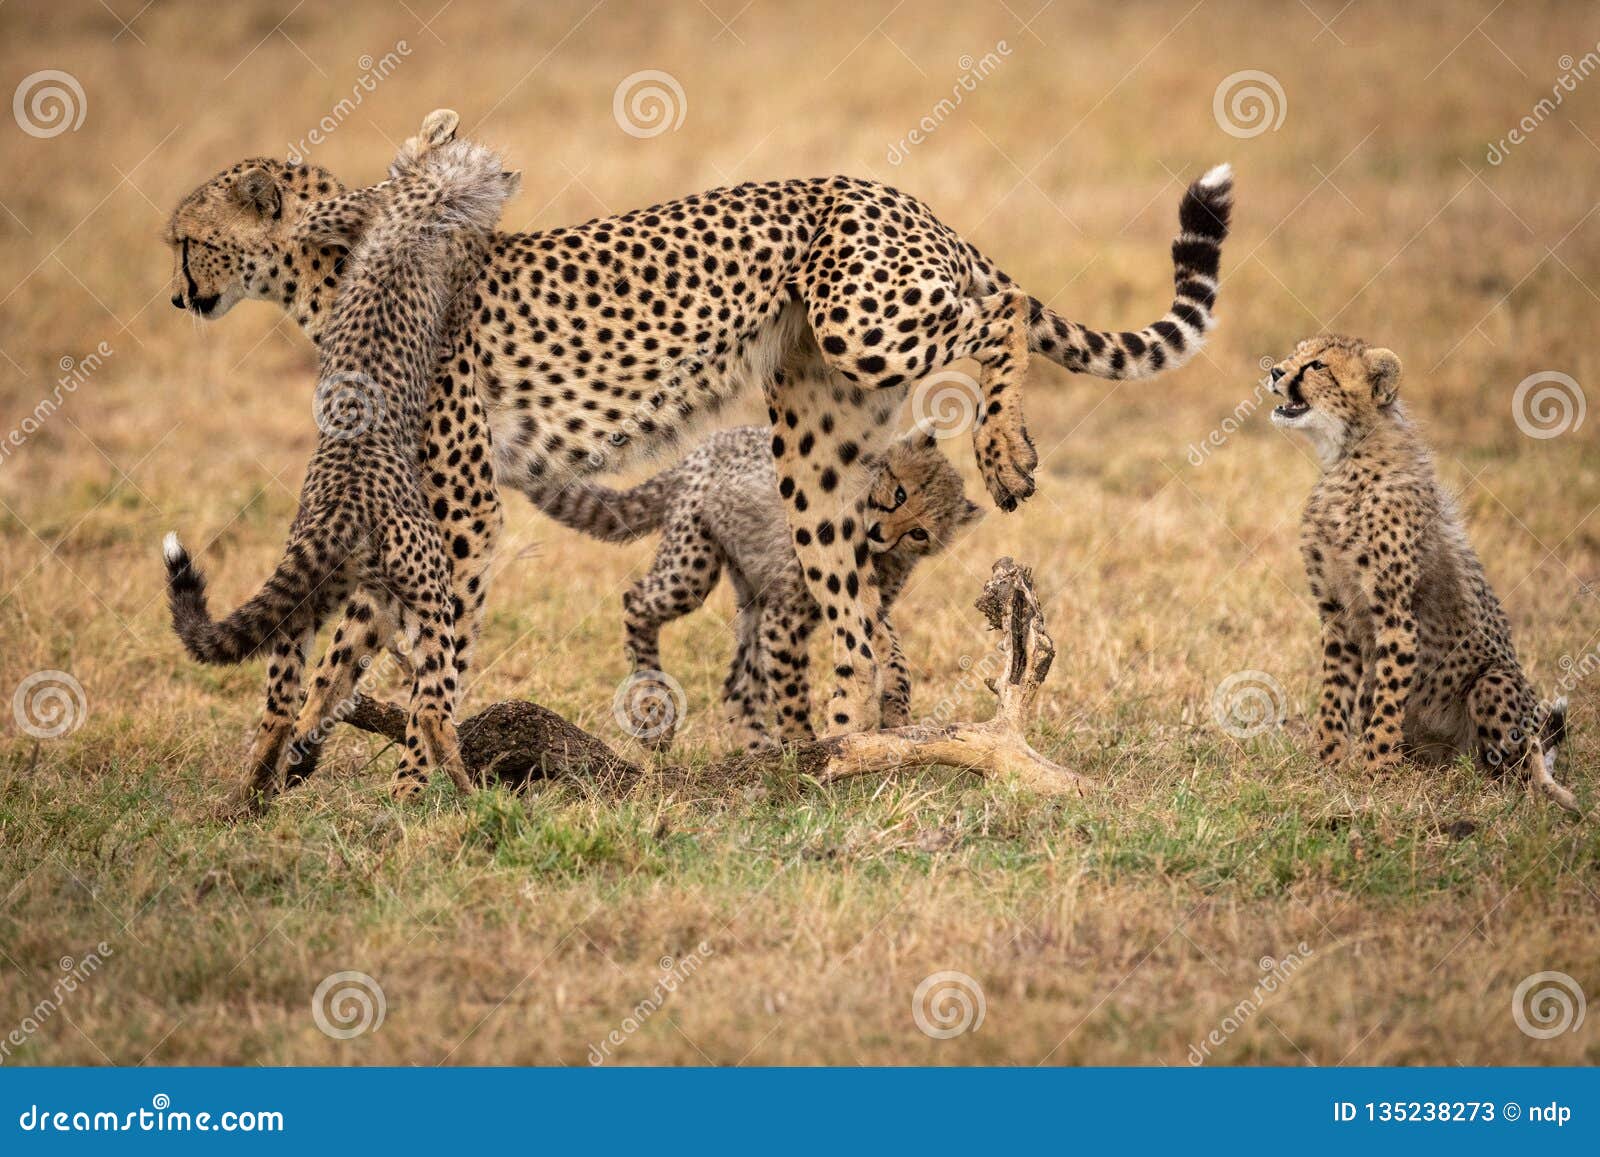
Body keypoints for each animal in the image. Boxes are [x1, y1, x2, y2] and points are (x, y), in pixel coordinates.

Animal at [161, 128, 519, 810]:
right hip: (423, 575)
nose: (176, 298)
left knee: (283, 692)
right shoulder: (468, 516)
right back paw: (447, 789)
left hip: (324, 585)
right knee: (432, 702)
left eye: (189, 243)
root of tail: (348, 498)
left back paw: (254, 794)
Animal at [535, 424, 980, 749]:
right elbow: (792, 687)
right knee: (636, 602)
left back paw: (755, 749)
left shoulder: (862, 609)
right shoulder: (789, 617)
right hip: (692, 567)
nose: (879, 533)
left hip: (753, 598)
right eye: (900, 493)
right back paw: (652, 706)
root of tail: (708, 444)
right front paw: (803, 747)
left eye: (919, 533)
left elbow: (890, 657)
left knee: (737, 684)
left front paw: (896, 712)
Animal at [1267, 334, 1577, 811]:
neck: (1347, 457)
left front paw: (1375, 772)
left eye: (1317, 365)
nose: (1275, 371)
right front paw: (1328, 762)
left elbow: (1388, 702)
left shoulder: (1397, 618)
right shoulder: (1337, 615)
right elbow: (1335, 695)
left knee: (1521, 768)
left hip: (1494, 684)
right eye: (1295, 354)